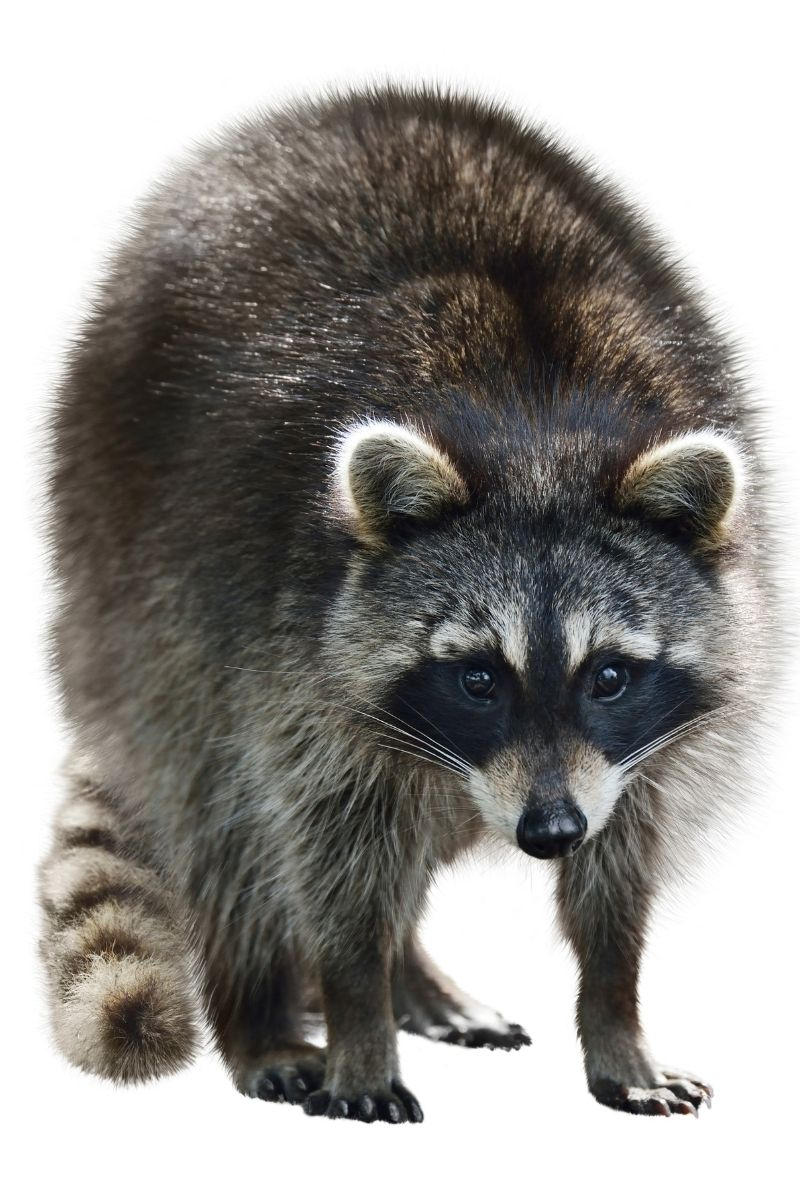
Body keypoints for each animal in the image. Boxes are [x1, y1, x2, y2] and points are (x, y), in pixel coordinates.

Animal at [39, 85, 775, 1123]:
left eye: (609, 675)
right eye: (477, 678)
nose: (549, 834)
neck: (535, 431)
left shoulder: (637, 746)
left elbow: (621, 864)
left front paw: (616, 1018)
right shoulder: (285, 641)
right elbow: (328, 847)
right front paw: (356, 1014)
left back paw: (411, 977)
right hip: (129, 563)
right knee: (224, 815)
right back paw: (262, 1013)